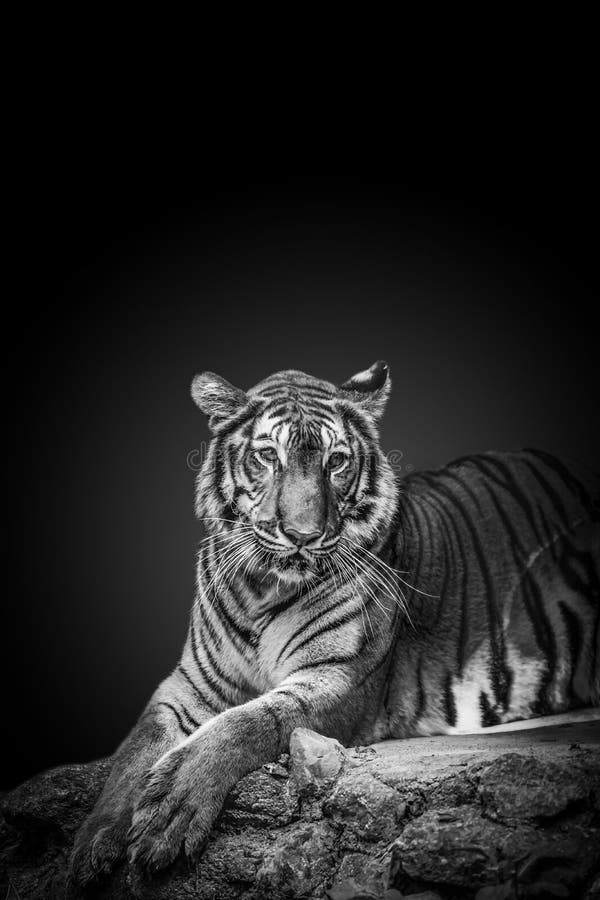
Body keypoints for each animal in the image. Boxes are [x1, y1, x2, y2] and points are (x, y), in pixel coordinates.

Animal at [69, 360, 600, 888]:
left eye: (337, 461)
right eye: (268, 456)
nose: (303, 536)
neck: (262, 588)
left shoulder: (341, 679)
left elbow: (249, 722)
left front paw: (170, 809)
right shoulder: (189, 685)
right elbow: (136, 749)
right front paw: (93, 843)